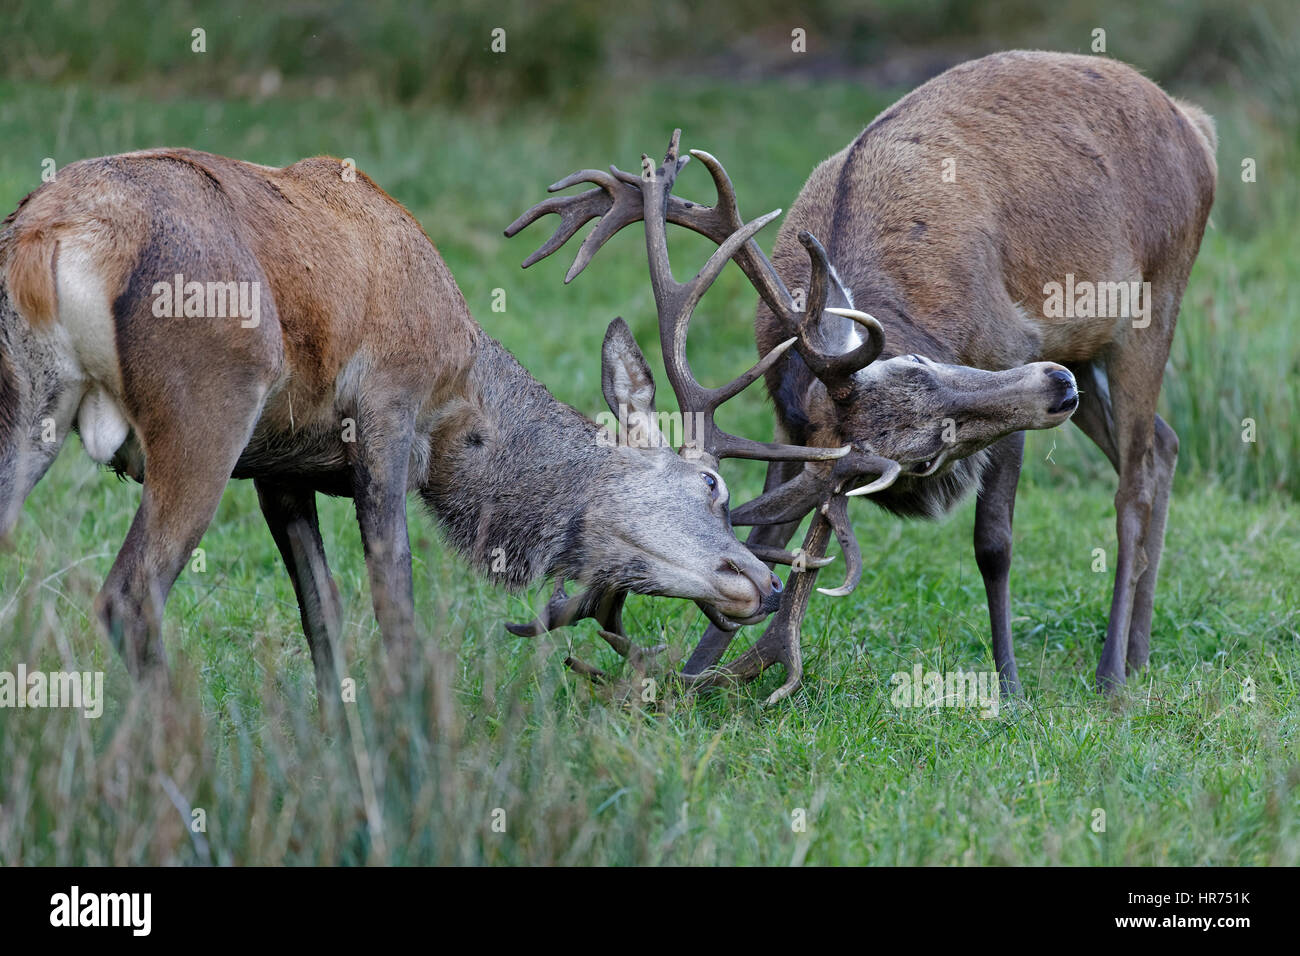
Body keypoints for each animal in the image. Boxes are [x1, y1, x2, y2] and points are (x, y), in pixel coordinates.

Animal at [0, 147, 848, 697]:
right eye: (708, 482)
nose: (763, 582)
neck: (463, 408)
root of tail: (56, 232)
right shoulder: (387, 407)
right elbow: (394, 604)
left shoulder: (279, 462)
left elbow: (322, 613)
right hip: (207, 402)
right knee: (129, 596)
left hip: (26, 402)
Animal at [508, 50, 1217, 701]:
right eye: (923, 457)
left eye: (917, 361)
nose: (1050, 387)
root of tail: (1196, 123)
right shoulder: (789, 422)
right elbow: (766, 534)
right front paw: (696, 668)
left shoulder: (1013, 342)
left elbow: (994, 544)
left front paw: (1010, 686)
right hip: (1087, 346)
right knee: (1163, 445)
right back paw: (1141, 651)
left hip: (1149, 304)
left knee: (1132, 483)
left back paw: (1112, 673)